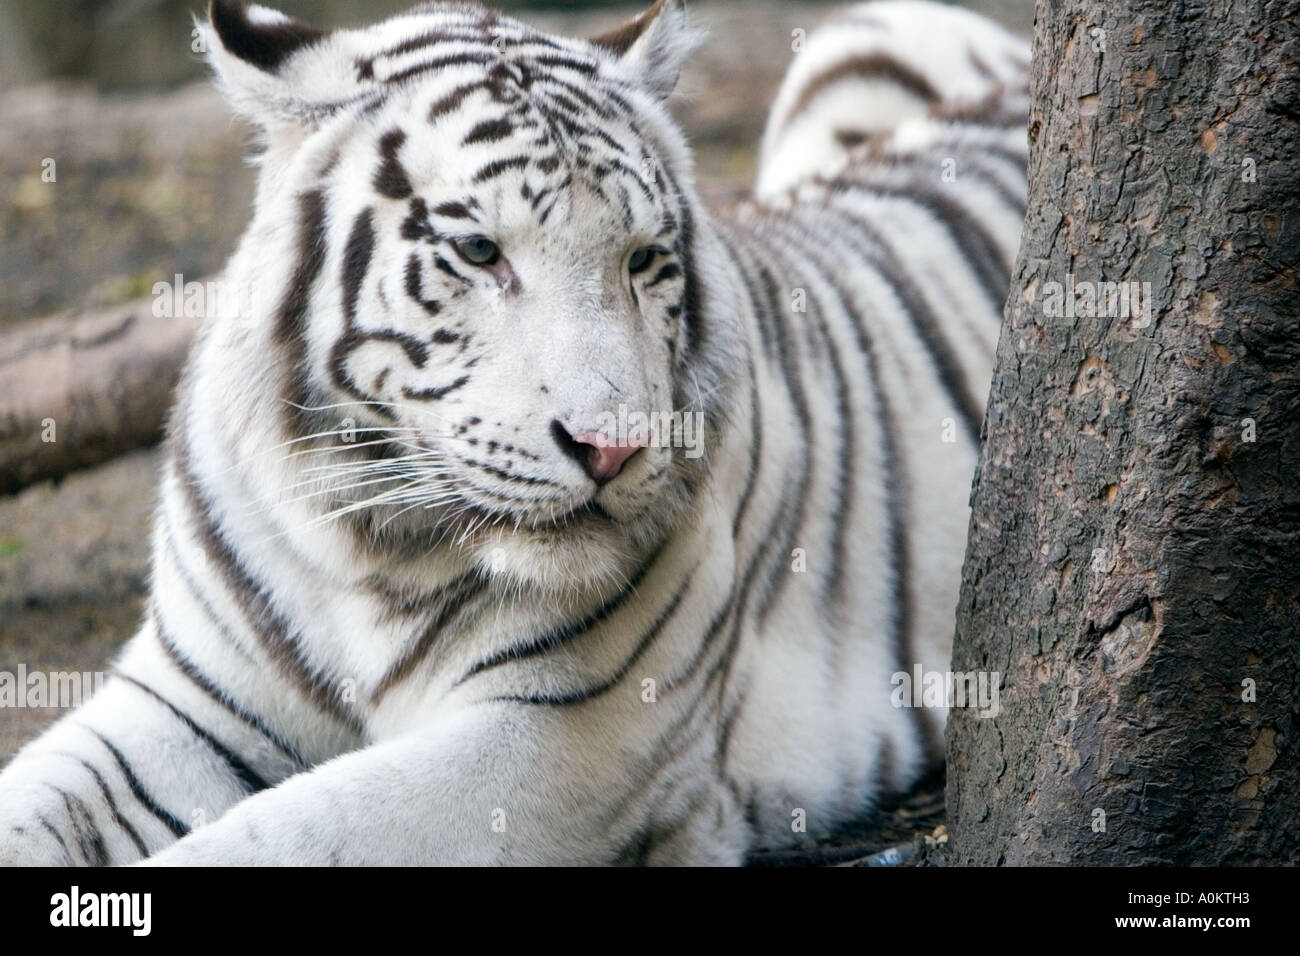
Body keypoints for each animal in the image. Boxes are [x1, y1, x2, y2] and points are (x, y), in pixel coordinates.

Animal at [0, 0, 1028, 865]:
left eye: (643, 260)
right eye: (479, 251)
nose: (613, 449)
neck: (367, 542)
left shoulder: (563, 736)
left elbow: (280, 839)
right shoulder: (185, 701)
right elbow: (36, 798)